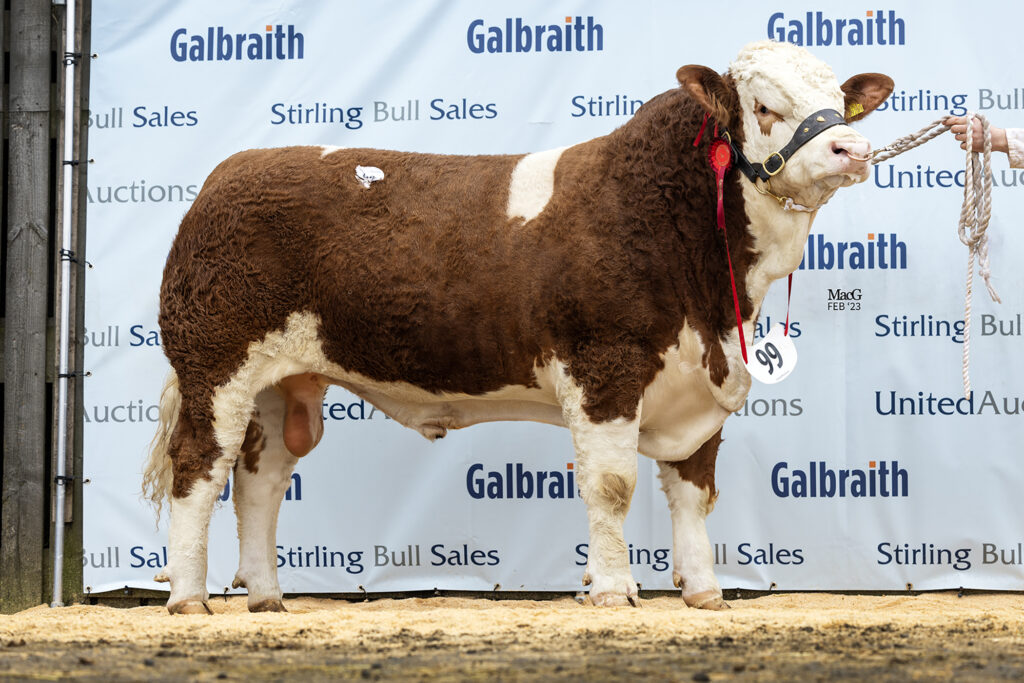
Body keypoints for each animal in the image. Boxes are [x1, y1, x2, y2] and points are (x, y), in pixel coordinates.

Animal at [143, 40, 892, 614]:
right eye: (764, 106)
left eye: (838, 96)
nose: (851, 147)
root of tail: (228, 174)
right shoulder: (604, 365)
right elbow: (612, 484)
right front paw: (613, 590)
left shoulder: (705, 379)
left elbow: (694, 489)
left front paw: (704, 592)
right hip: (215, 364)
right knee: (199, 467)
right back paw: (189, 597)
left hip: (283, 382)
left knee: (260, 478)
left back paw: (267, 597)